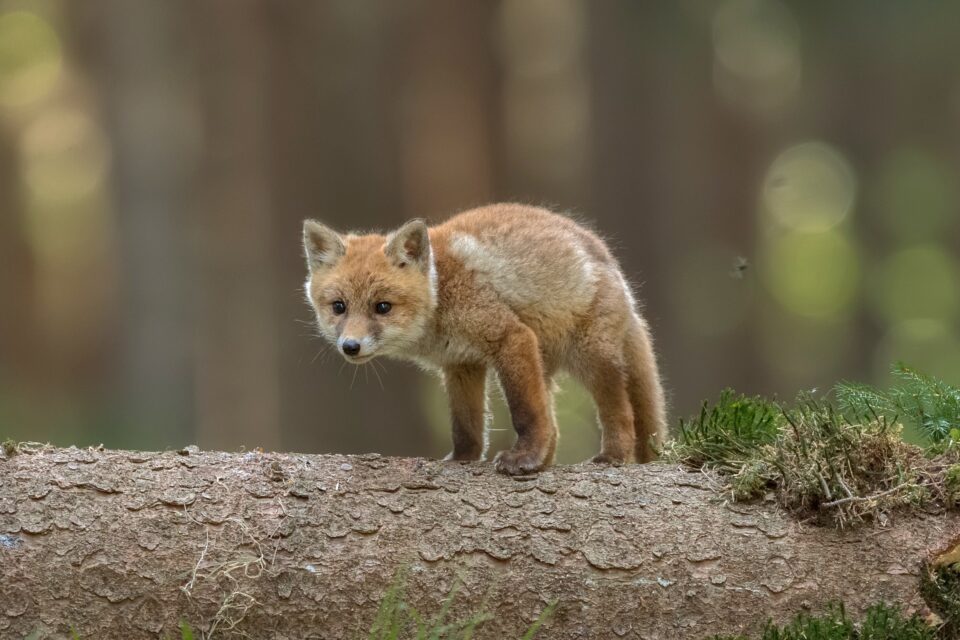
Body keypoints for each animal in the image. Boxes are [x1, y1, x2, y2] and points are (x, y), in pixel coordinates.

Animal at [302, 204, 667, 475]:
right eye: (339, 307)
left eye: (382, 307)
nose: (350, 346)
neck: (442, 293)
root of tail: (610, 262)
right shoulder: (461, 364)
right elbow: (465, 425)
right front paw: (462, 461)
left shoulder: (511, 337)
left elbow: (524, 413)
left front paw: (524, 458)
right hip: (545, 368)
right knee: (555, 427)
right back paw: (547, 463)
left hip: (592, 359)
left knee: (621, 413)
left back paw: (612, 457)